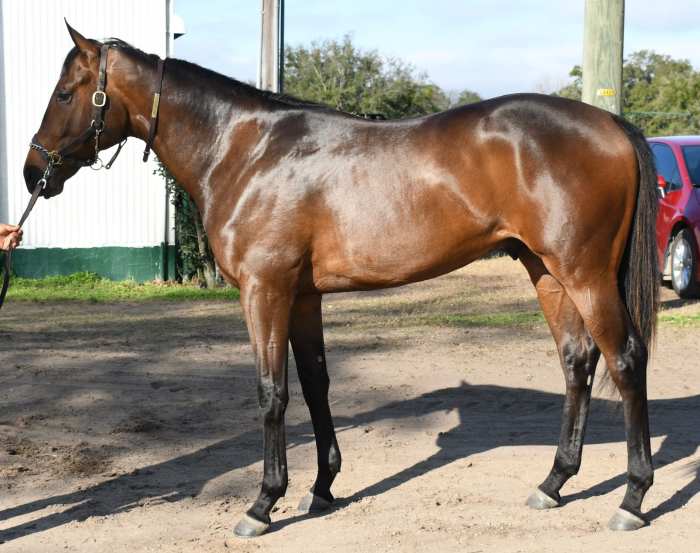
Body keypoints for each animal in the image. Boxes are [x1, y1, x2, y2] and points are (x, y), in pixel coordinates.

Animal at [22, 23, 659, 537]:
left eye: (64, 93)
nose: (33, 173)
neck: (246, 151)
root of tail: (610, 123)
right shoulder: (303, 296)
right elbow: (315, 384)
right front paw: (323, 487)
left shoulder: (265, 291)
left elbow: (272, 392)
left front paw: (263, 503)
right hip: (547, 271)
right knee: (578, 361)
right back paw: (554, 483)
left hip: (585, 273)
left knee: (625, 359)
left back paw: (632, 497)